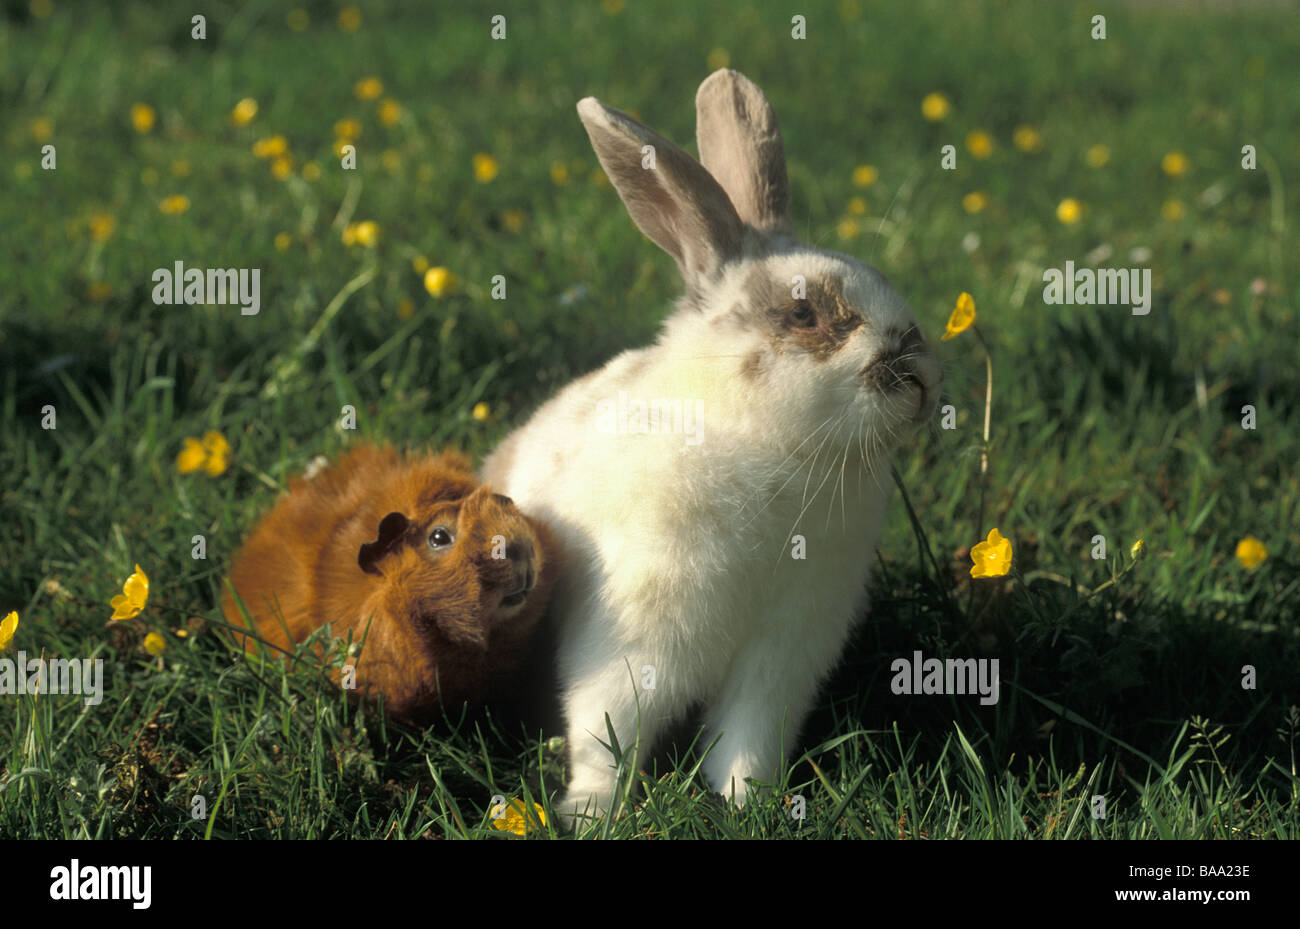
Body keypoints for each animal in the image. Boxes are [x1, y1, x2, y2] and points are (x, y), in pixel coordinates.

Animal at [480, 69, 942, 821]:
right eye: (802, 313)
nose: (923, 378)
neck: (774, 451)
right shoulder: (632, 639)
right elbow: (606, 731)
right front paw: (592, 813)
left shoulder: (781, 655)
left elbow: (746, 739)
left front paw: (750, 802)